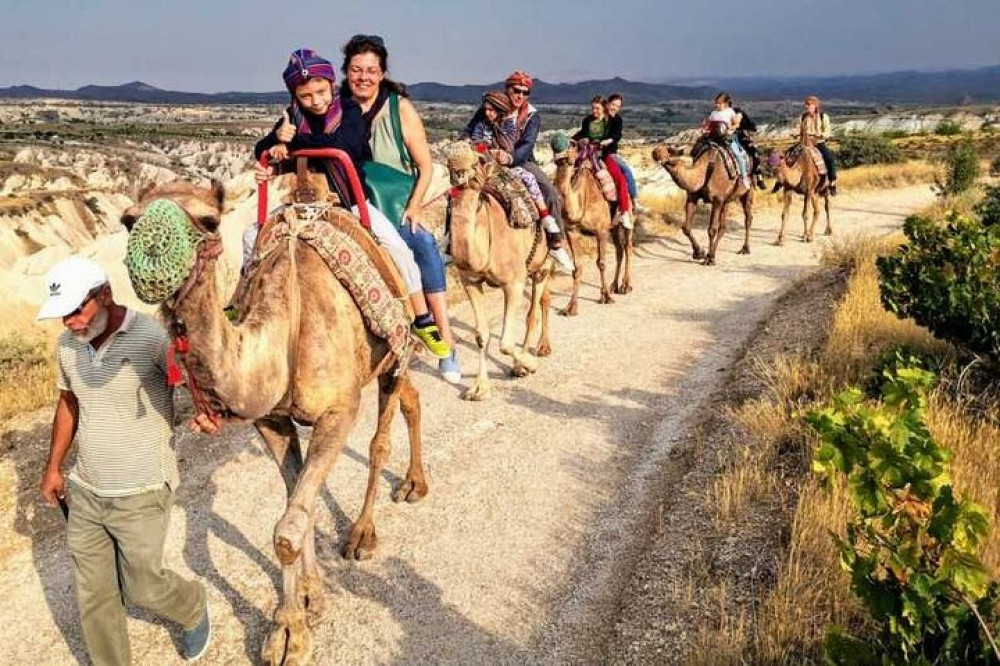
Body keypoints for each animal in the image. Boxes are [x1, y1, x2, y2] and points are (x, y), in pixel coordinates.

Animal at [121, 177, 427, 666]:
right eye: (128, 220)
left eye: (209, 220)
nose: (151, 264)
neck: (285, 330)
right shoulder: (272, 421)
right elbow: (295, 501)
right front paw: (308, 601)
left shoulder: (338, 411)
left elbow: (287, 530)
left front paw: (289, 635)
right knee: (412, 399)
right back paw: (415, 484)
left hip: (393, 347)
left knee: (383, 434)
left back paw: (363, 534)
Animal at [447, 148, 554, 401]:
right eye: (448, 164)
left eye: (475, 161)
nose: (458, 170)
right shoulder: (470, 281)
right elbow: (481, 335)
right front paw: (479, 388)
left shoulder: (513, 282)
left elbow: (505, 343)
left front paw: (528, 365)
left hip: (542, 265)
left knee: (533, 312)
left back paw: (526, 362)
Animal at [552, 144, 634, 315]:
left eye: (568, 155)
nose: (559, 157)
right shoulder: (572, 231)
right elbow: (577, 268)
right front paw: (570, 307)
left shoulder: (601, 230)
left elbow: (601, 263)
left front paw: (605, 297)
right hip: (613, 227)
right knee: (619, 250)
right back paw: (614, 285)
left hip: (628, 214)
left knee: (628, 247)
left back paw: (625, 286)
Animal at [652, 130, 754, 266]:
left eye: (670, 149)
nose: (655, 151)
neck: (704, 170)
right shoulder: (692, 197)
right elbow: (686, 227)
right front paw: (699, 253)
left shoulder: (717, 199)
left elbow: (711, 229)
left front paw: (709, 259)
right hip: (727, 199)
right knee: (723, 226)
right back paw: (715, 252)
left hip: (747, 190)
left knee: (748, 218)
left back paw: (744, 249)